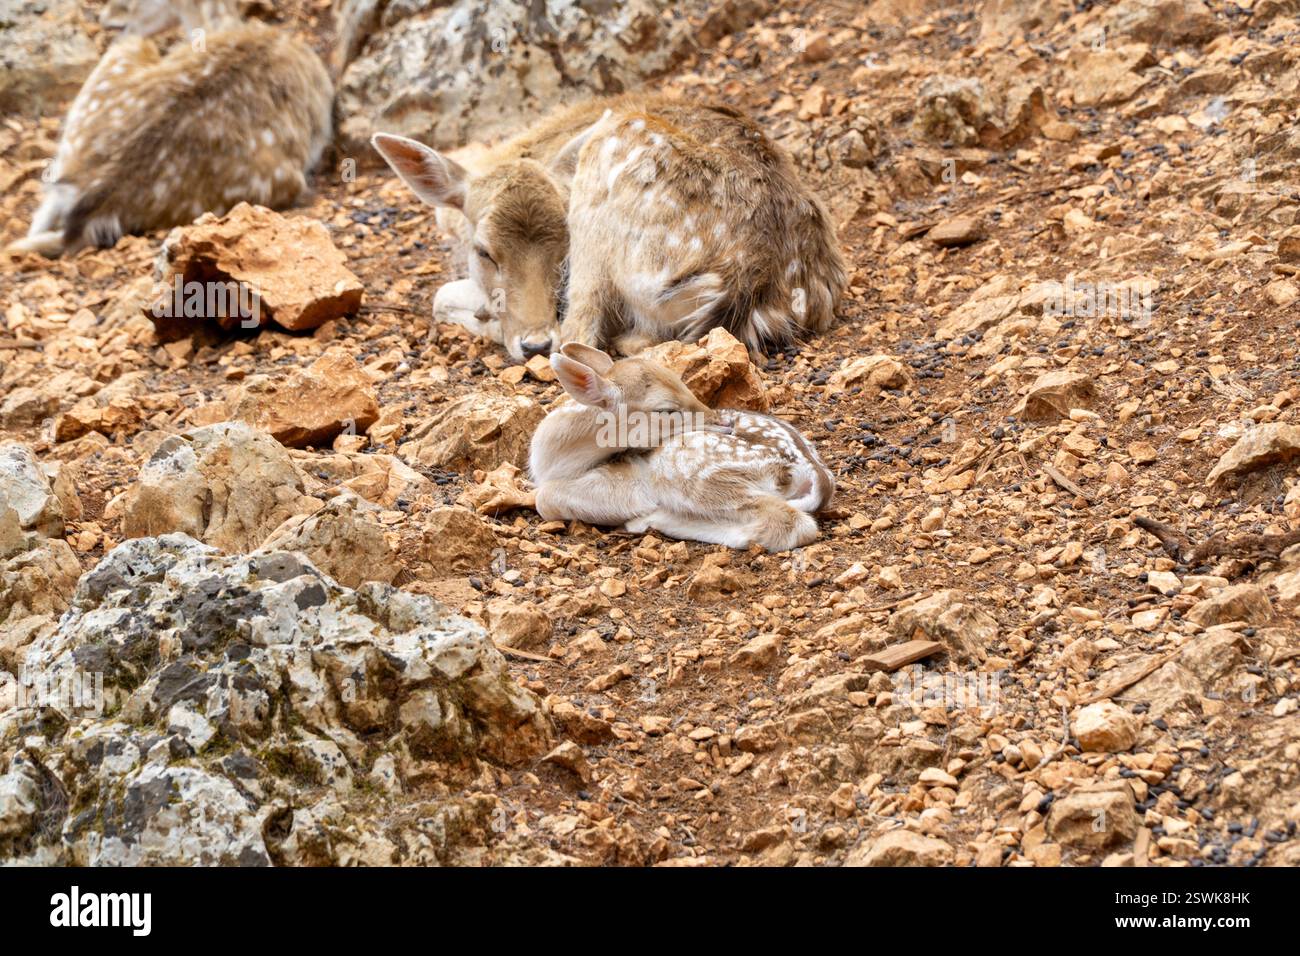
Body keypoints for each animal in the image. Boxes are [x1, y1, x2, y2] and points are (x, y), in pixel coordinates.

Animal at [372, 94, 846, 363]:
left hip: (606, 178)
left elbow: (440, 297)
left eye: (562, 248)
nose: (533, 344)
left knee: (580, 336)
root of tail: (751, 279)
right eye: (484, 251)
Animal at [529, 344, 834, 552]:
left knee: (791, 523)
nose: (723, 421)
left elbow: (544, 498)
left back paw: (652, 520)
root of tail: (816, 475)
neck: (553, 465)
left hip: (690, 472)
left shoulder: (627, 485)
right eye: (665, 410)